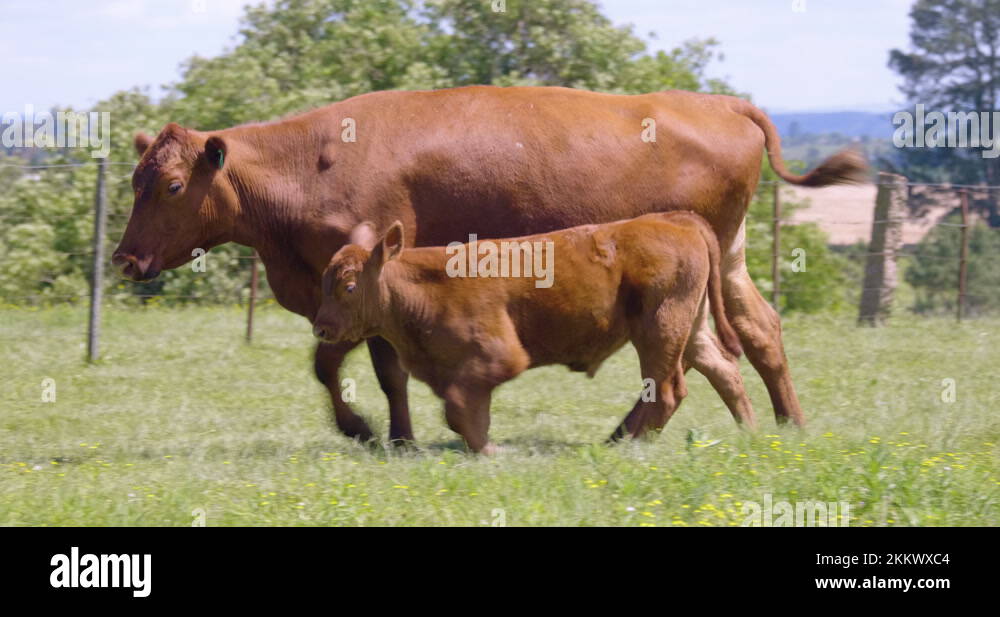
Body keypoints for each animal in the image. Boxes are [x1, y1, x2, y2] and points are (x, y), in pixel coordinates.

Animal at [312, 213, 749, 453]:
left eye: (348, 286)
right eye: (324, 281)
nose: (321, 326)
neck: (425, 285)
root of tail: (675, 219)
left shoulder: (500, 357)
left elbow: (458, 408)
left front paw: (491, 450)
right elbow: (467, 411)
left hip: (660, 331)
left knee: (667, 390)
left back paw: (628, 444)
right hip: (690, 330)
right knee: (724, 370)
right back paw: (751, 433)